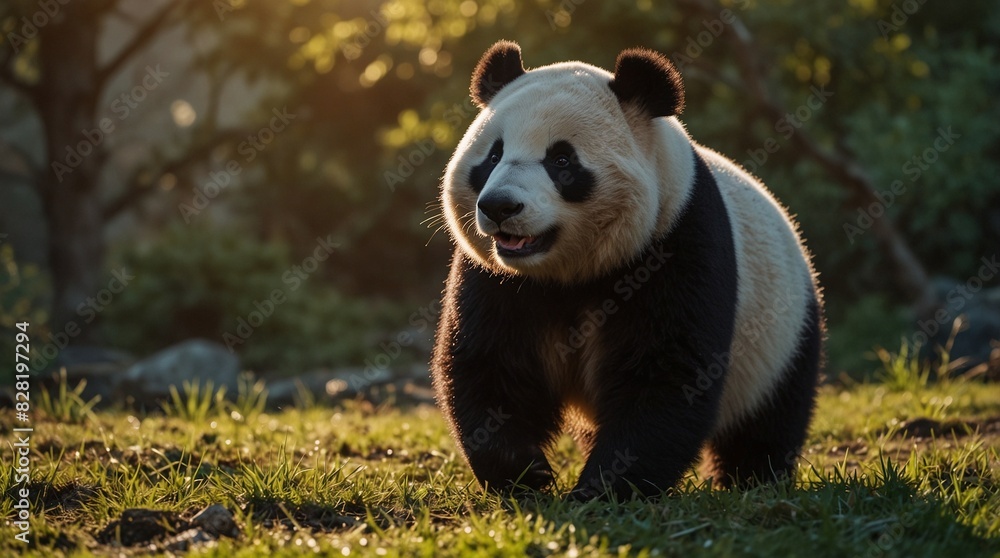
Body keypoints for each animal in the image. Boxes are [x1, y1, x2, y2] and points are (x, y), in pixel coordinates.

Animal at [431, 40, 823, 499]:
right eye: (493, 156)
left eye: (561, 160)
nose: (500, 207)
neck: (567, 273)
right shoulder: (499, 280)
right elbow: (489, 366)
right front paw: (524, 474)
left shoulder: (674, 242)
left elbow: (665, 374)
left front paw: (603, 489)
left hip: (783, 328)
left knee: (770, 415)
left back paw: (753, 478)